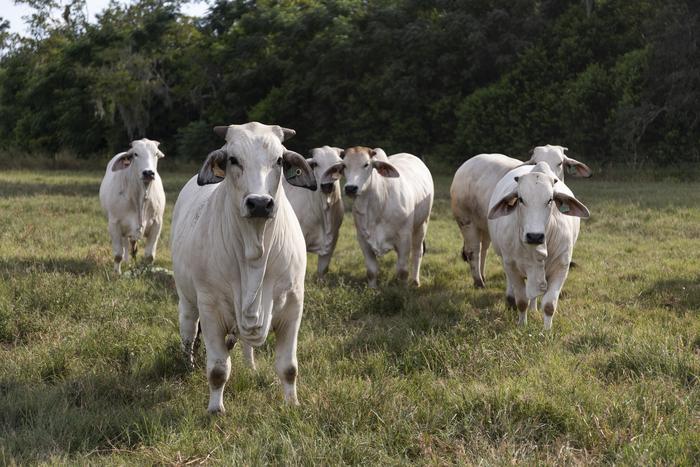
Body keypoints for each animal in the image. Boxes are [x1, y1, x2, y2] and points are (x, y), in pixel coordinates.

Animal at [99, 139, 165, 274]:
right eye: (135, 154)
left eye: (156, 153)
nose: (148, 173)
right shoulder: (114, 224)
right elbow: (118, 254)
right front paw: (117, 273)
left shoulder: (157, 224)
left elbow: (150, 255)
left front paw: (147, 272)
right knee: (125, 245)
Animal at [170, 122, 317, 413]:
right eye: (233, 159)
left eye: (279, 160)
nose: (259, 203)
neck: (254, 252)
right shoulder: (210, 308)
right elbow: (218, 369)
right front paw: (215, 410)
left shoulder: (294, 304)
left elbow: (288, 367)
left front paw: (292, 403)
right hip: (187, 298)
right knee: (188, 330)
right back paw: (187, 364)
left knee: (245, 345)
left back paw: (250, 367)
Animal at [325, 146, 434, 287]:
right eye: (344, 165)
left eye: (366, 164)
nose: (350, 188)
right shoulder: (363, 239)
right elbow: (371, 271)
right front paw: (372, 289)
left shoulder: (404, 238)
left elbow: (402, 271)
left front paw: (403, 290)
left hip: (422, 224)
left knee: (417, 253)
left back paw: (415, 281)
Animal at [450, 146, 591, 288]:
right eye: (535, 162)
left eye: (560, 163)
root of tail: (467, 164)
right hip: (466, 222)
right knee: (473, 251)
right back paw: (479, 281)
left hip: (484, 226)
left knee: (483, 248)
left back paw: (482, 276)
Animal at [487, 162, 590, 330]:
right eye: (521, 199)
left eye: (550, 200)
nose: (534, 236)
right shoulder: (511, 266)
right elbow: (522, 301)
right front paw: (522, 325)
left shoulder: (561, 267)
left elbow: (549, 305)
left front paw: (547, 331)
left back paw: (533, 309)